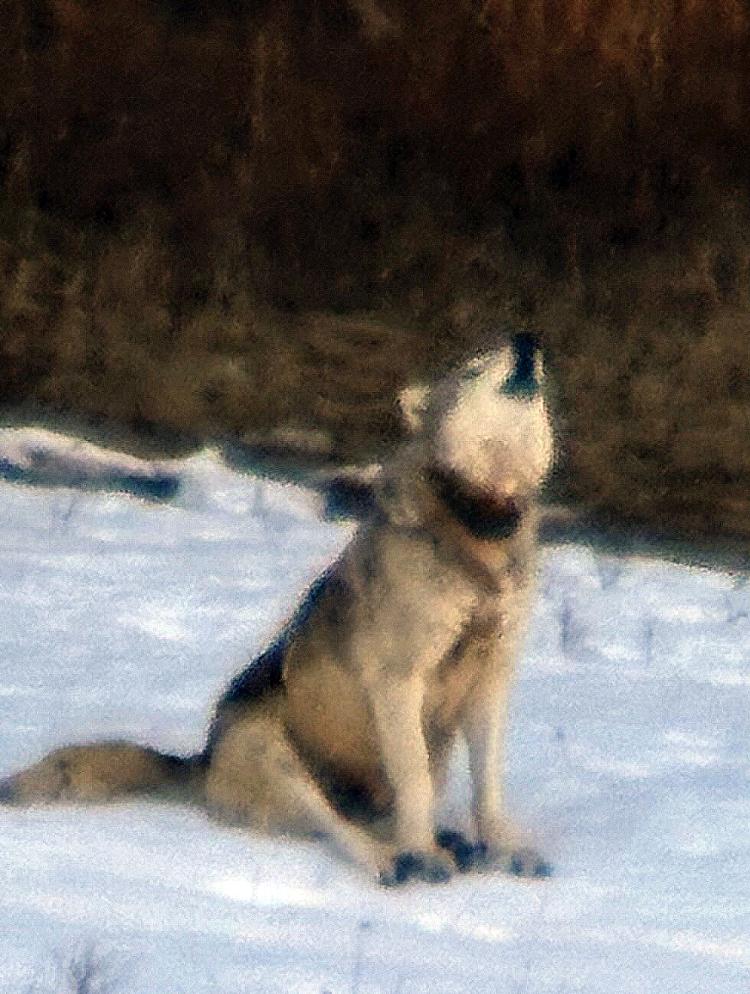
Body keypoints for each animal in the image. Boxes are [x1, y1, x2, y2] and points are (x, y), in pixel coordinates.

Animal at [0, 334, 555, 886]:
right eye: (475, 367)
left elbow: (488, 786)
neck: (481, 522)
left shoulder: (492, 678)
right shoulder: (398, 679)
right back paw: (398, 860)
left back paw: (451, 843)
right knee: (338, 829)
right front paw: (422, 855)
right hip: (275, 754)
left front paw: (506, 849)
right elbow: (414, 780)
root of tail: (202, 763)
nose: (526, 343)